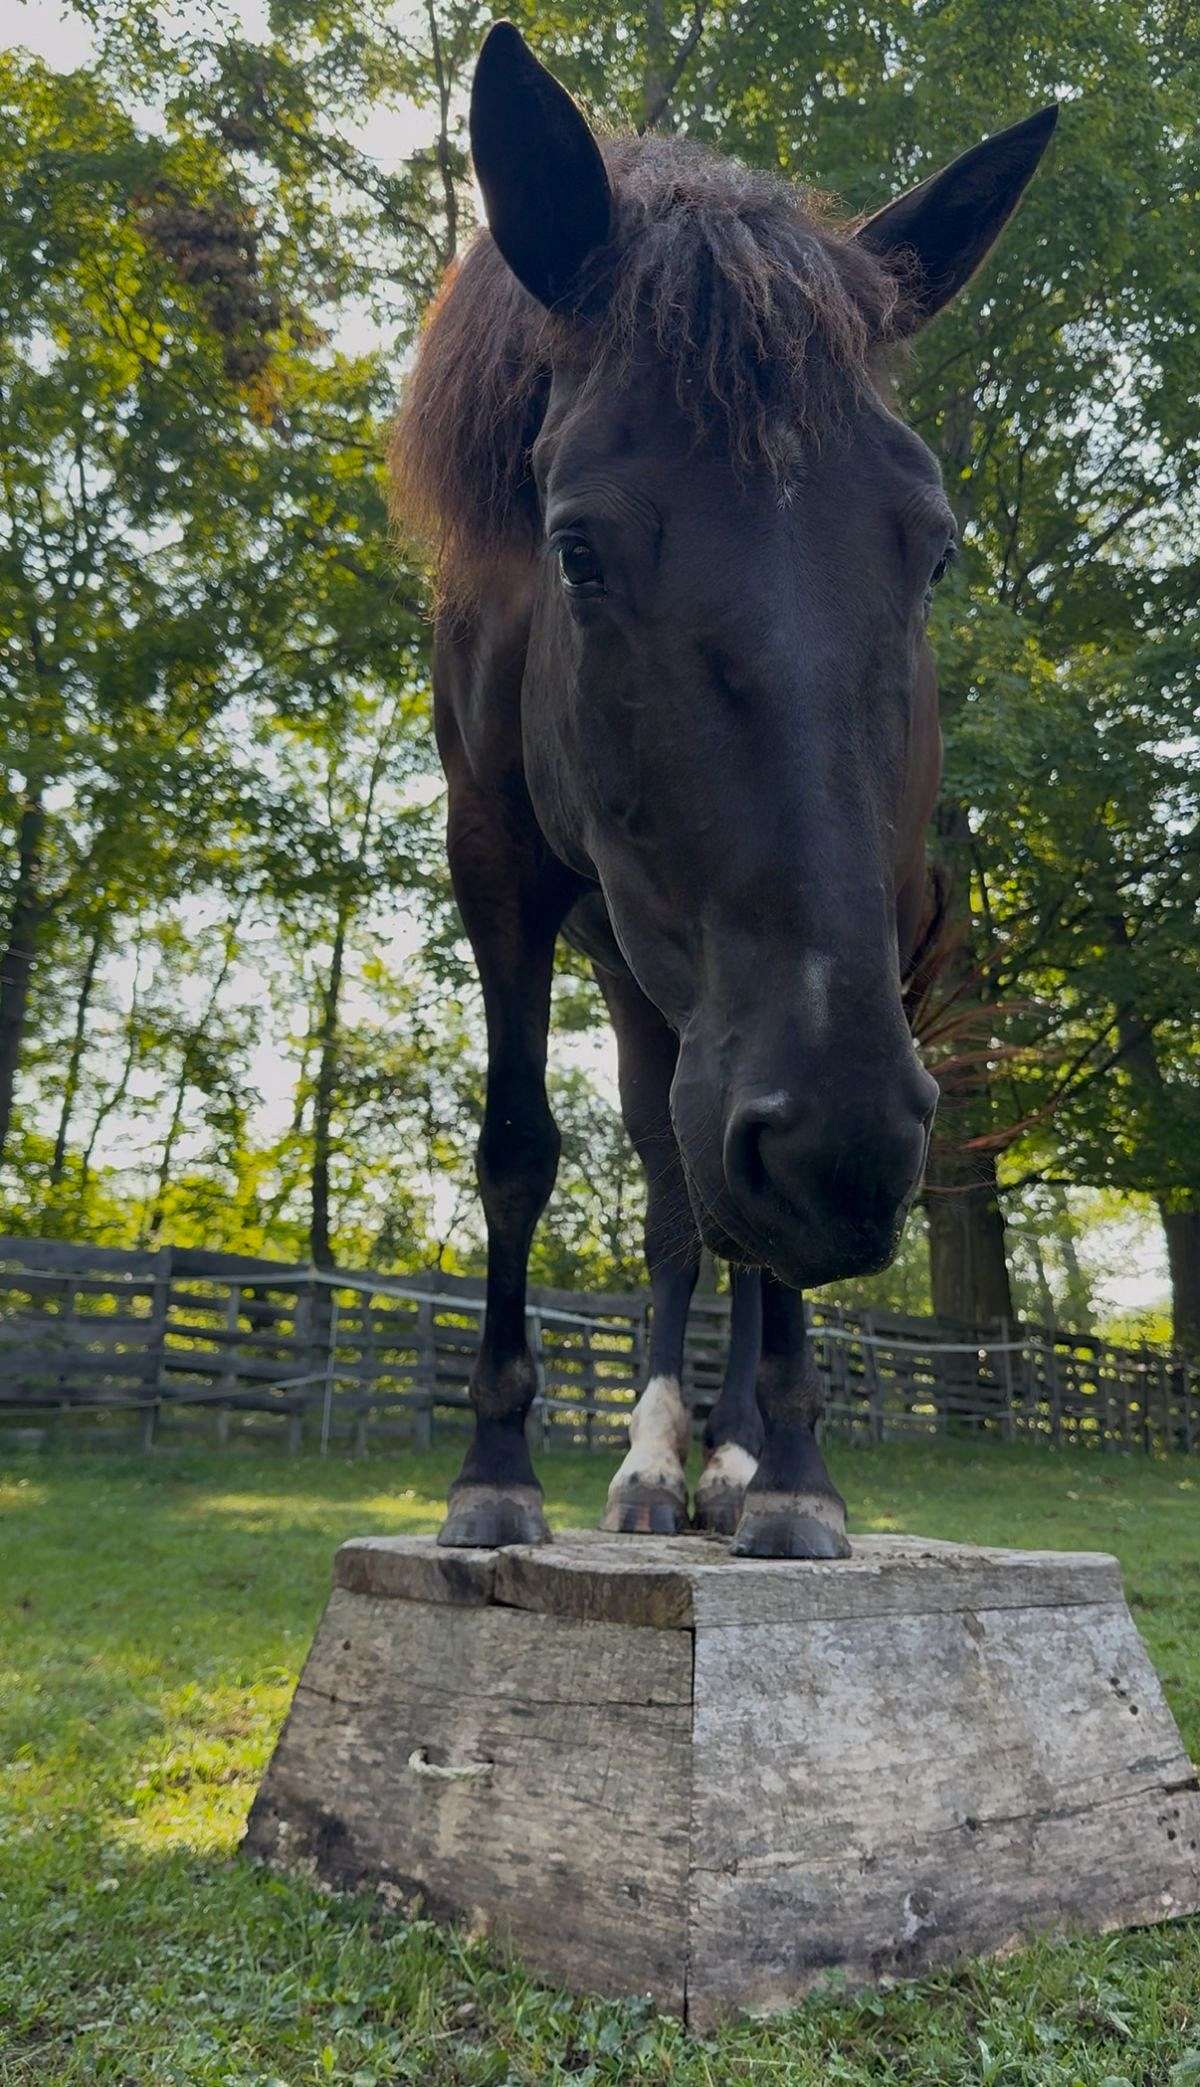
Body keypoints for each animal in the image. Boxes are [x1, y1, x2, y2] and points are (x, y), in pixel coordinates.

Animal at [392, 22, 1056, 1558]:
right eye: (576, 547)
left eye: (931, 549)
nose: (841, 1152)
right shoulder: (494, 866)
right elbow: (521, 1151)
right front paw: (495, 1466)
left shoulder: (867, 934)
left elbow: (768, 1240)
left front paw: (794, 1470)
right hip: (649, 988)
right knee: (678, 1193)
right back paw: (656, 1462)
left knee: (738, 1228)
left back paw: (745, 1455)